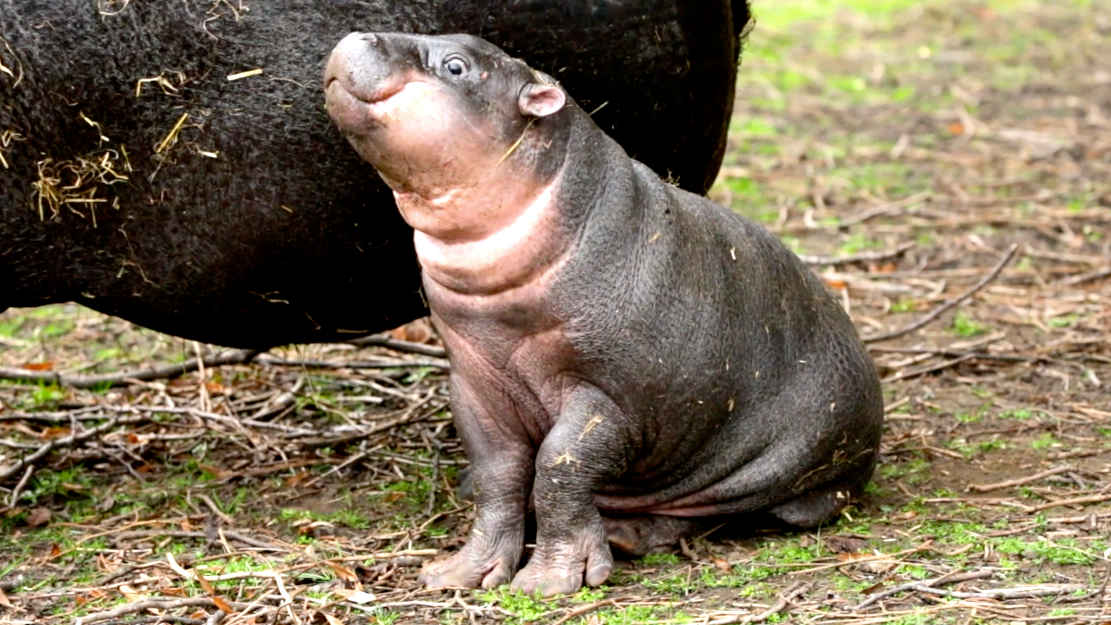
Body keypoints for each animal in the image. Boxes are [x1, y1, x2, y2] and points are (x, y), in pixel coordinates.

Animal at [324, 33, 885, 596]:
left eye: (457, 66)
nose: (358, 35)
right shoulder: (475, 381)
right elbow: (495, 473)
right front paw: (456, 574)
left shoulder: (612, 396)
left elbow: (559, 465)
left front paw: (548, 583)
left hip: (773, 470)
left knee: (718, 512)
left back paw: (626, 536)